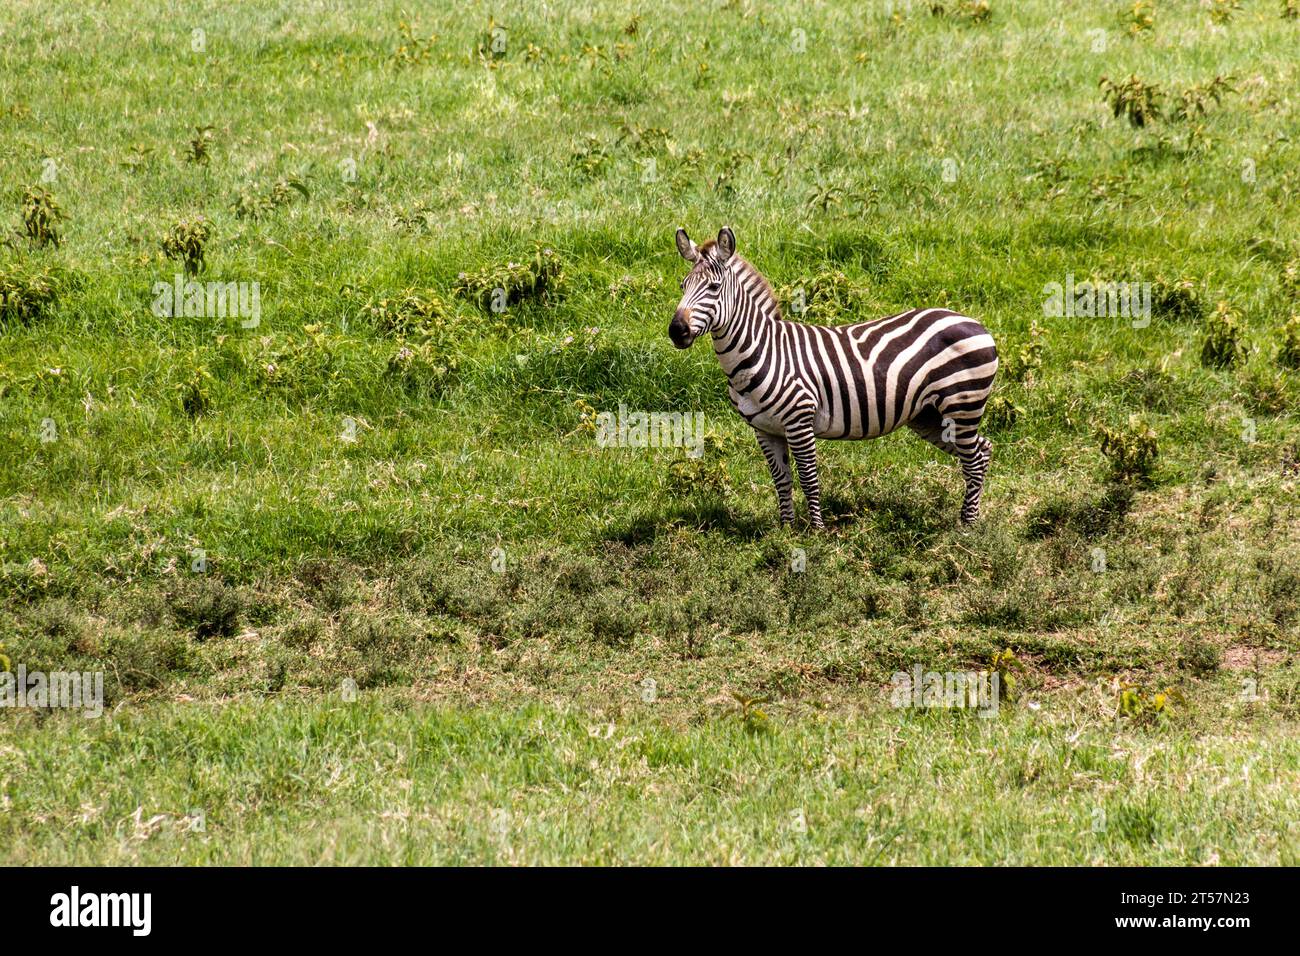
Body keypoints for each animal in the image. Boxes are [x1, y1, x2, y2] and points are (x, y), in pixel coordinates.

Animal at [670, 225, 998, 529]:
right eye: (683, 286)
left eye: (714, 287)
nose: (676, 330)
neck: (761, 351)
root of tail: (976, 324)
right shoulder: (764, 429)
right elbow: (781, 479)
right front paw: (785, 530)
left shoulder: (799, 420)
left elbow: (808, 477)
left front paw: (815, 531)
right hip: (929, 416)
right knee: (982, 450)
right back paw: (968, 518)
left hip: (962, 405)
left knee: (973, 459)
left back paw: (967, 527)